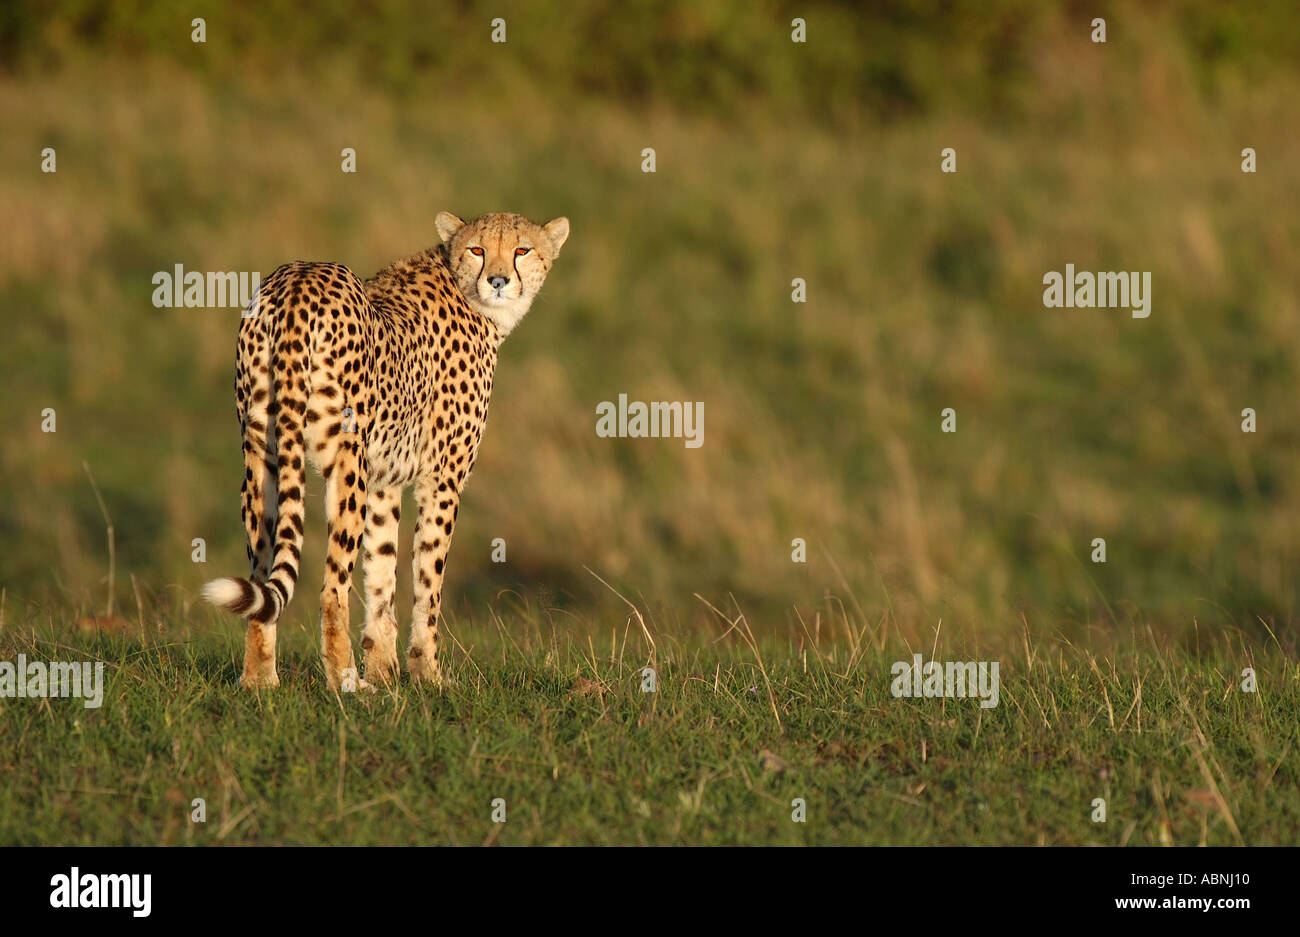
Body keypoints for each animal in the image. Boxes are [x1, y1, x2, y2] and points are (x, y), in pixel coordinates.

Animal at [202, 211, 569, 691]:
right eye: (478, 249)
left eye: (522, 250)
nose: (499, 280)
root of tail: (300, 276)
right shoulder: (441, 482)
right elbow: (427, 584)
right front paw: (427, 674)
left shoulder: (384, 482)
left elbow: (381, 578)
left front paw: (386, 671)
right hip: (345, 463)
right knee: (331, 587)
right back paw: (346, 682)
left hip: (261, 455)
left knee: (263, 576)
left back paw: (259, 681)